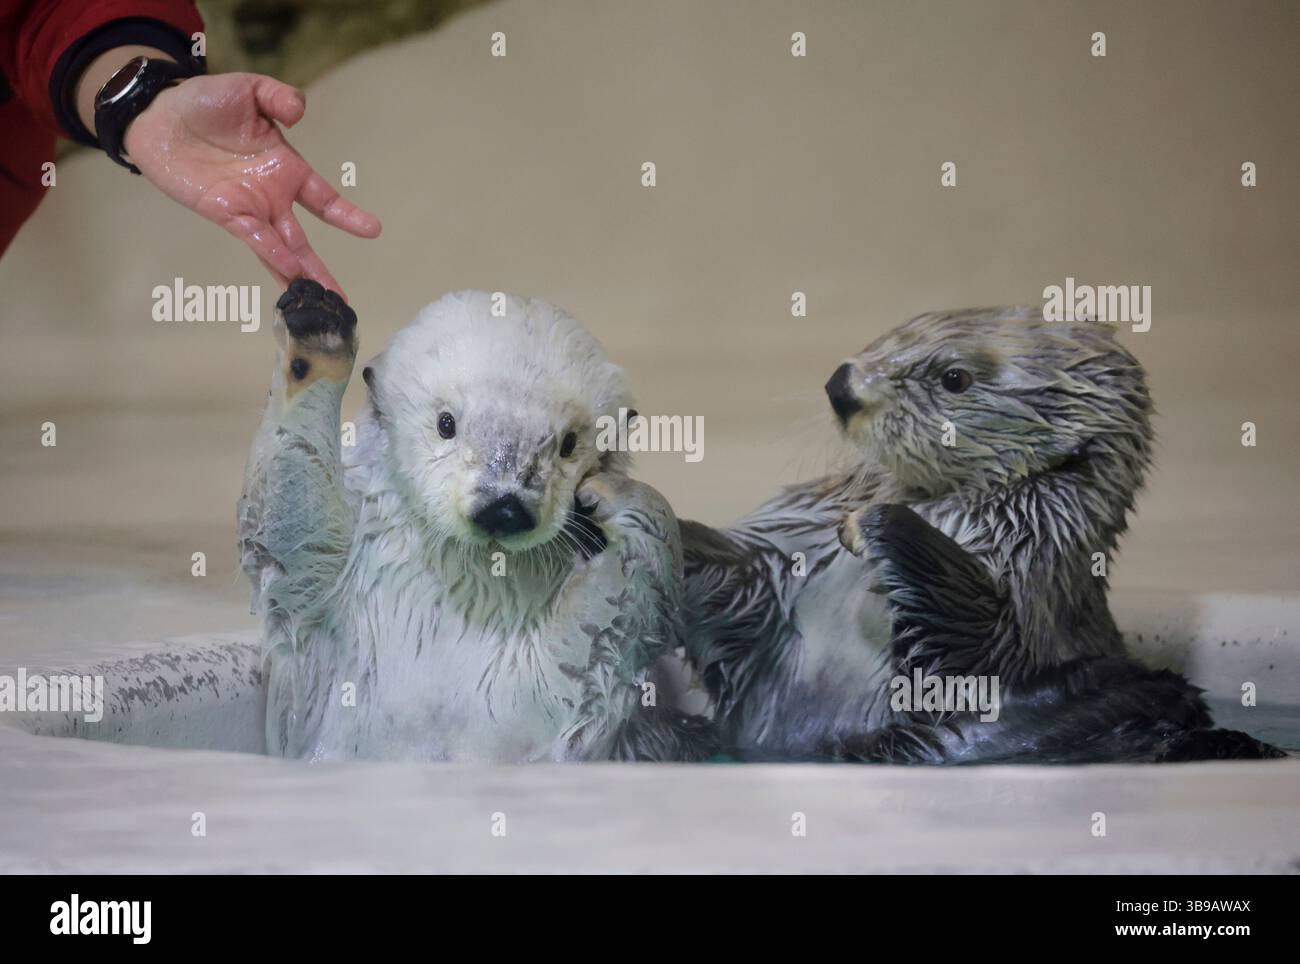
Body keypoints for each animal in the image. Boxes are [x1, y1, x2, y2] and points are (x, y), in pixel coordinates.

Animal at [239, 280, 713, 762]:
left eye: (569, 443)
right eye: (446, 423)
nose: (504, 508)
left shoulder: (541, 702)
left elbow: (595, 644)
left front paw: (622, 499)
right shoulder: (330, 618)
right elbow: (296, 531)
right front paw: (317, 330)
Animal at [683, 307, 1283, 763]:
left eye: (953, 378)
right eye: (894, 332)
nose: (841, 387)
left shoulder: (1025, 599)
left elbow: (972, 663)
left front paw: (877, 523)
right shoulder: (789, 550)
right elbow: (742, 583)